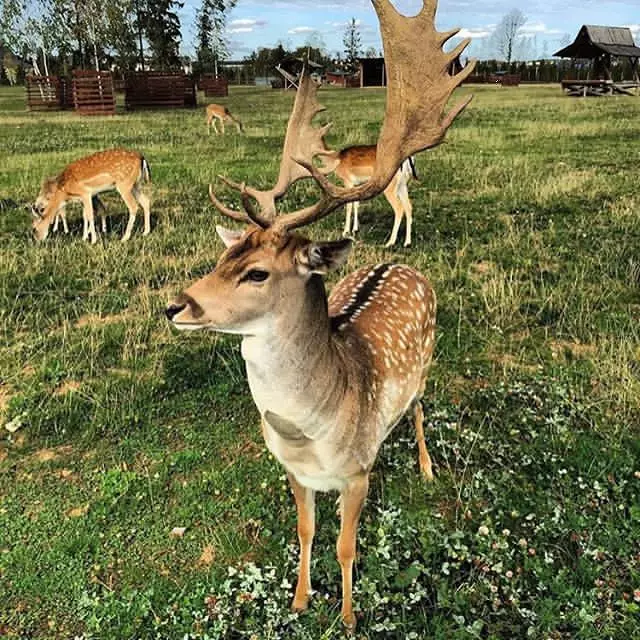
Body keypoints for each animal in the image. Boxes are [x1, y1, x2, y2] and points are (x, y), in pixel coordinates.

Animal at [165, 1, 476, 632]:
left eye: (258, 273)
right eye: (224, 256)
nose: (175, 305)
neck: (312, 435)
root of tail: (402, 266)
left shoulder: (355, 475)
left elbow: (347, 545)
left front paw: (351, 617)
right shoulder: (294, 473)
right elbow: (306, 530)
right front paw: (302, 599)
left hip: (427, 359)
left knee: (419, 408)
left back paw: (427, 467)